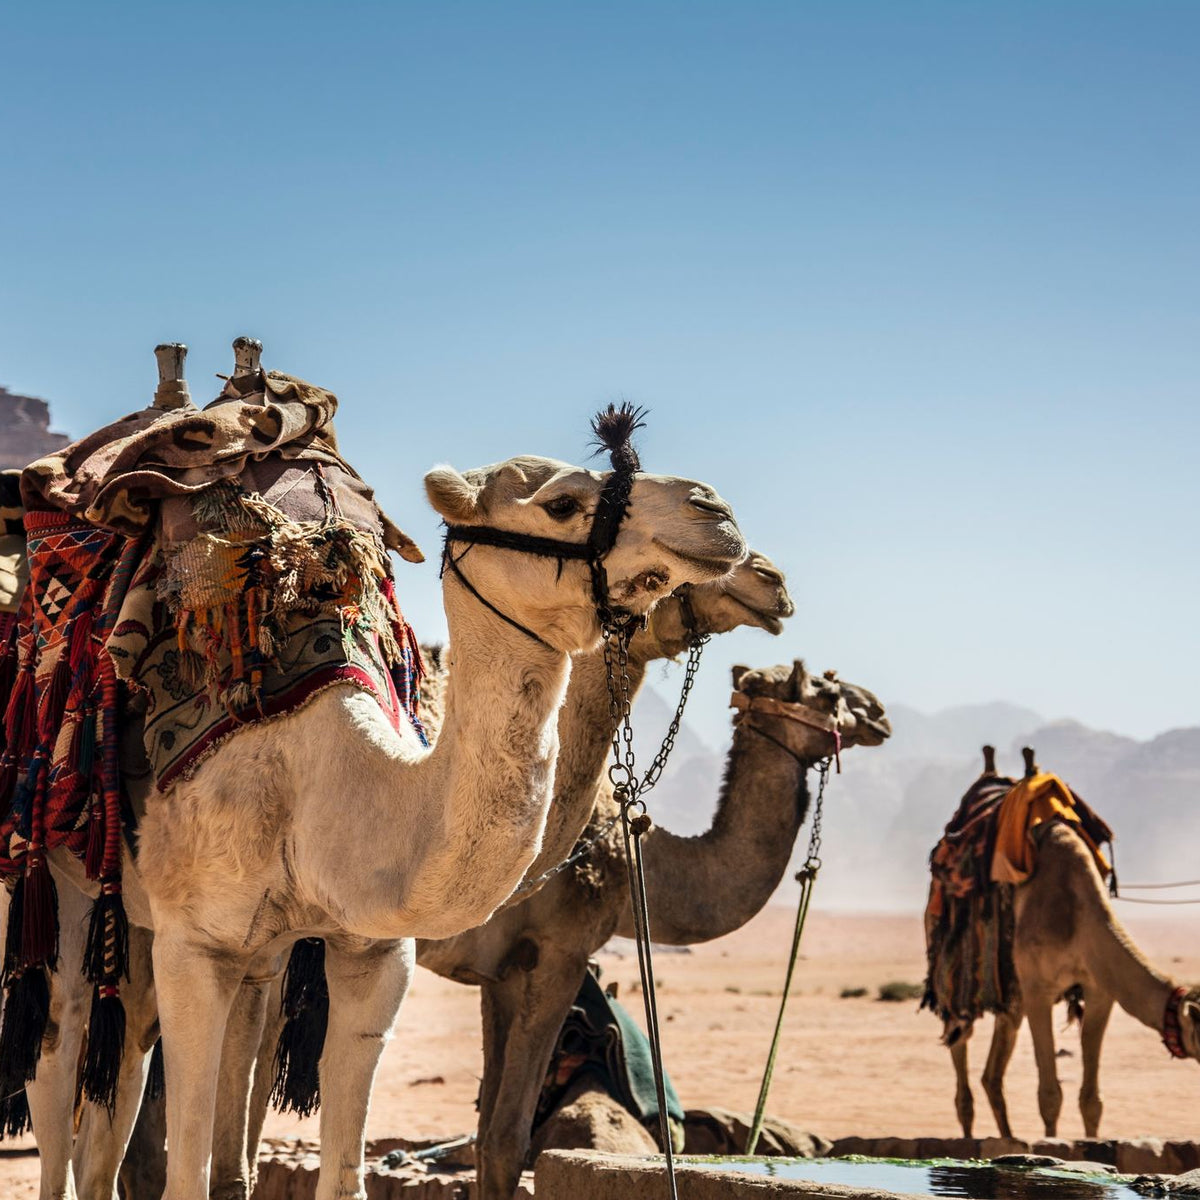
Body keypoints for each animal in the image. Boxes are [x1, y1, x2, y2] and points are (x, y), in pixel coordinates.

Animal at [27, 408, 747, 1200]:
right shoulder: (194, 945)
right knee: (62, 1037)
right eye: (561, 502)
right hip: (62, 880)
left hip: (202, 938)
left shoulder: (372, 953)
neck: (325, 776)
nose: (714, 510)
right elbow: (182, 1170)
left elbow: (342, 1172)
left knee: (132, 1056)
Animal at [941, 749, 1200, 1141]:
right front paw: (1051, 1143)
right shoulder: (1037, 989)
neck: (1078, 914)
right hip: (963, 974)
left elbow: (1091, 1100)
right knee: (960, 1041)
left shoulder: (1100, 991)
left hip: (1010, 996)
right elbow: (1049, 1094)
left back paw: (1007, 1137)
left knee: (992, 1074)